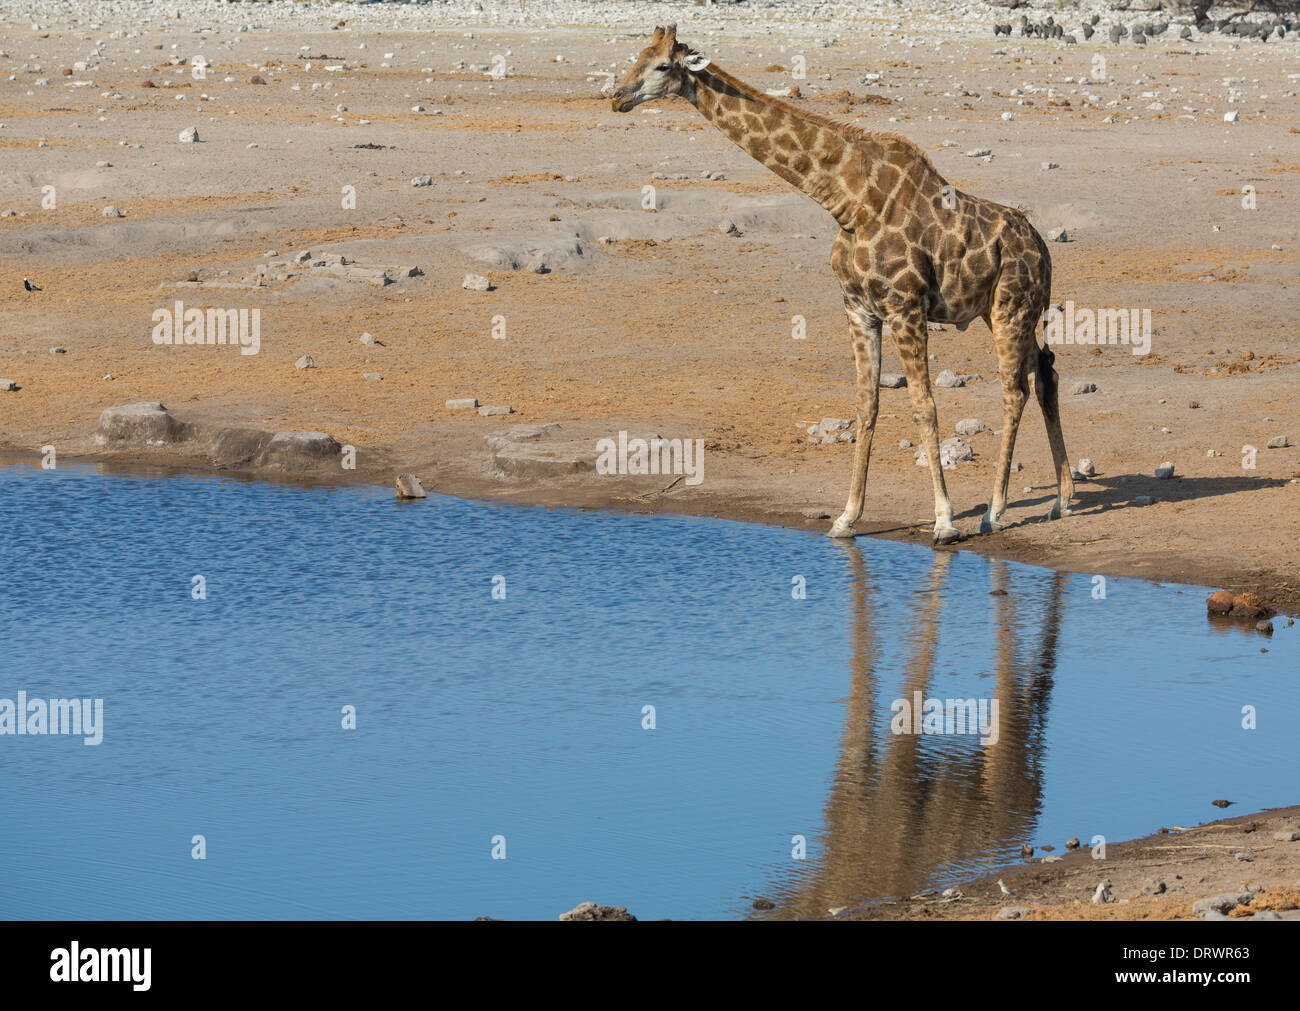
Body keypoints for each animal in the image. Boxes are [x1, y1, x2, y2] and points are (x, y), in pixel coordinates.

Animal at [611, 25, 1073, 544]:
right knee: (1046, 372)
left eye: (661, 66)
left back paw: (995, 511)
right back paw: (1061, 500)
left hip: (1010, 310)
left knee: (1013, 392)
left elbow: (924, 406)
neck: (848, 202)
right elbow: (866, 406)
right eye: (636, 57)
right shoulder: (858, 309)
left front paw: (945, 521)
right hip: (1012, 313)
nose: (617, 96)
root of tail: (1043, 249)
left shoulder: (905, 308)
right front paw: (847, 517)